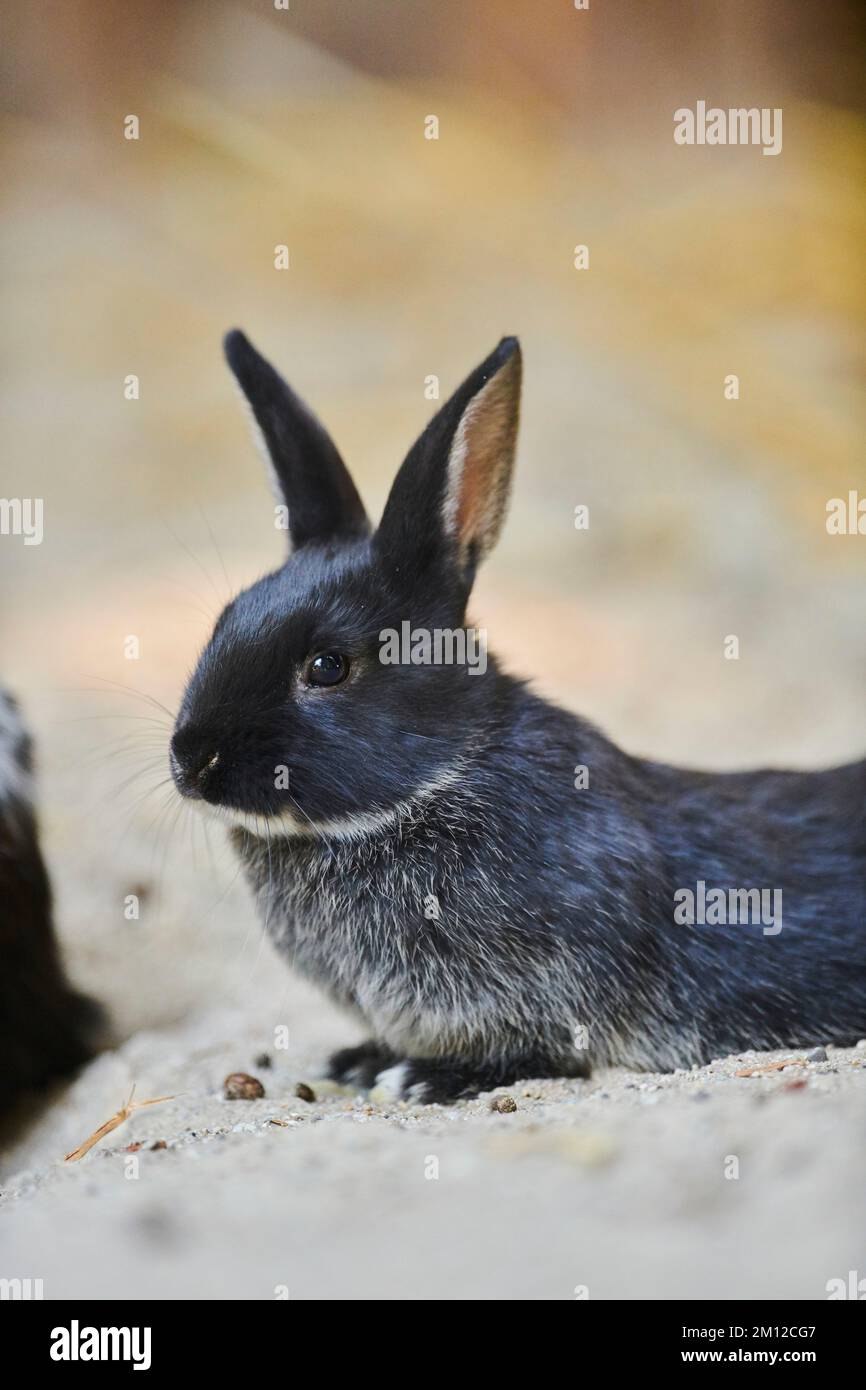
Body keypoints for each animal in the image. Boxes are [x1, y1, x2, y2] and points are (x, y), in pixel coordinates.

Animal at [169, 330, 866, 1103]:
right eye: (223, 621)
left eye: (328, 666)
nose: (192, 761)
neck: (440, 779)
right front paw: (363, 1060)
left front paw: (423, 1077)